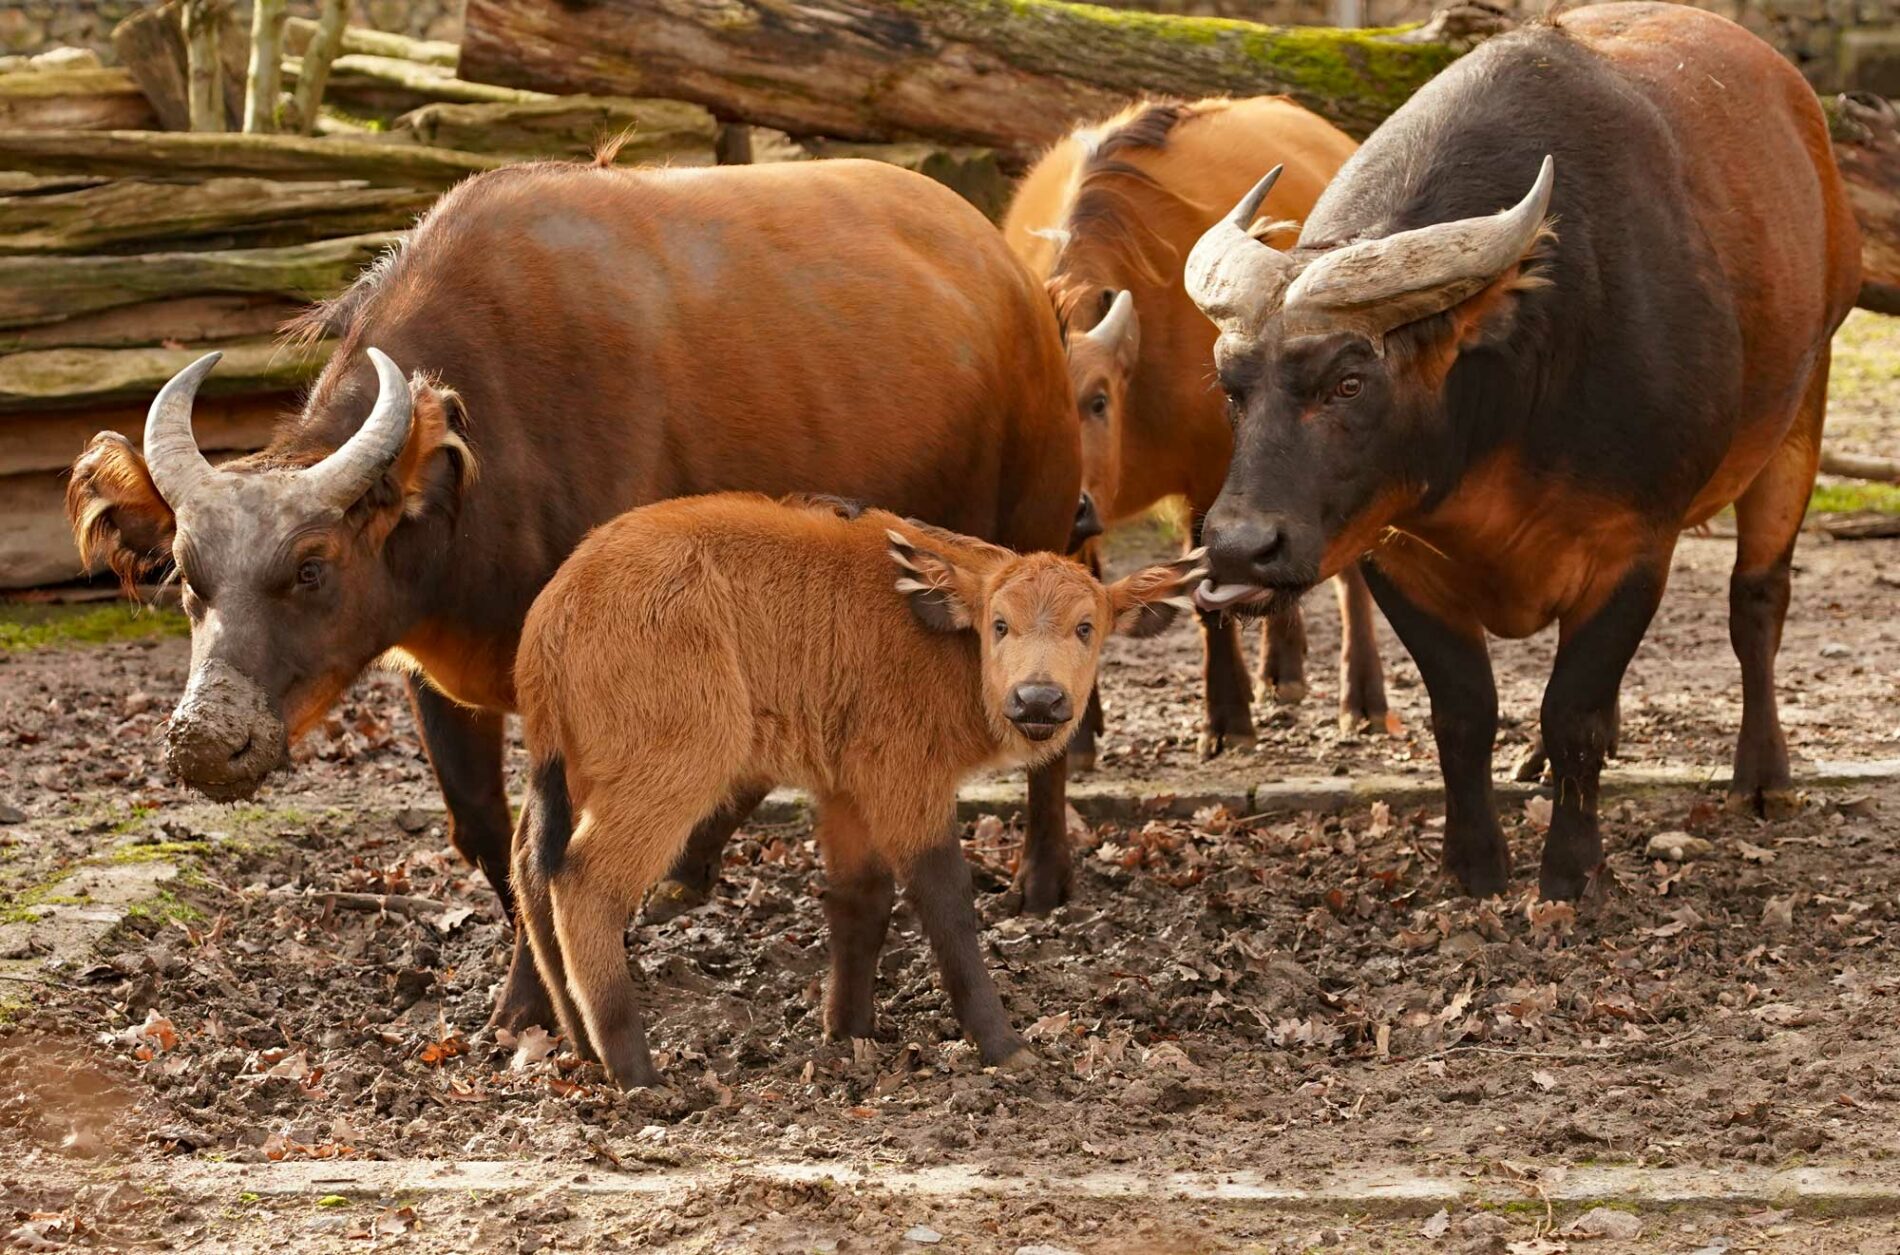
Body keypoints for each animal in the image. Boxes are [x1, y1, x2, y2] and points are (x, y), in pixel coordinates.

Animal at [64, 157, 1085, 1031]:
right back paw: (689, 870)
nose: (206, 738)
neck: (488, 460)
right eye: (189, 576)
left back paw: (1044, 879)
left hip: (1034, 526)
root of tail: (1019, 284)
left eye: (311, 565)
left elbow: (543, 838)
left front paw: (537, 1003)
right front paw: (533, 991)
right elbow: (486, 832)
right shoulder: (435, 671)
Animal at [511, 492, 1203, 1087]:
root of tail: (554, 610)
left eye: (1086, 627)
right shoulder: (906, 779)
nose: (1037, 699)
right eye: (1000, 624)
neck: (943, 640)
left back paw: (579, 1044)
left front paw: (848, 1032)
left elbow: (861, 901)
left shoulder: (845, 788)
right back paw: (636, 1071)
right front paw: (1004, 1046)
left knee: (532, 868)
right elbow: (946, 901)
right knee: (584, 880)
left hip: (574, 774)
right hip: (672, 767)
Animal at [1004, 97, 1390, 768]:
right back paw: (1283, 670)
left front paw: (1228, 718)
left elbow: (1212, 598)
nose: (1074, 505)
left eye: (1097, 400)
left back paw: (1362, 700)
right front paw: (1077, 735)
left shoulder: (1210, 471)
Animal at [1185, 3, 1859, 901]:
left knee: (1757, 601)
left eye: (1349, 381)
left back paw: (1764, 776)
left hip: (1802, 409)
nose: (1238, 547)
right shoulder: (1394, 549)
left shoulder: (1634, 548)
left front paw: (1572, 868)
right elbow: (1466, 711)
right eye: (1231, 386)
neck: (1507, 411)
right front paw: (1474, 860)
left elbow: (1575, 708)